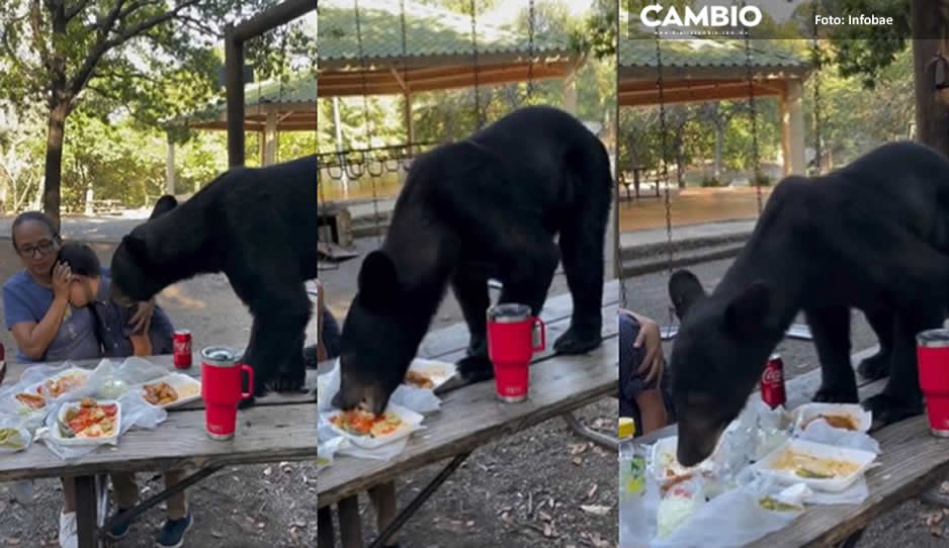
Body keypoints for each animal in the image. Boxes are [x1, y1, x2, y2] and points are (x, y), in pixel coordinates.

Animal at [109, 154, 318, 401]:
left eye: (116, 275)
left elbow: (282, 303)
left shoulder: (250, 227)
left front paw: (239, 389)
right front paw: (287, 377)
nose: (111, 296)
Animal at [332, 106, 612, 415]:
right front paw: (476, 344)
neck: (432, 219)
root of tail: (586, 129)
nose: (339, 401)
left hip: (588, 172)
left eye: (348, 357)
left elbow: (536, 258)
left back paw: (578, 337)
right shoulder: (463, 257)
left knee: (581, 247)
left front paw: (478, 363)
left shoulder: (475, 201)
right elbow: (471, 293)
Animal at [666, 141, 949, 467]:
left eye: (703, 399)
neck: (796, 249)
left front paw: (891, 402)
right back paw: (878, 361)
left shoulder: (860, 238)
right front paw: (833, 393)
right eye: (673, 397)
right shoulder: (818, 292)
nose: (687, 456)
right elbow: (828, 335)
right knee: (880, 311)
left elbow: (924, 286)